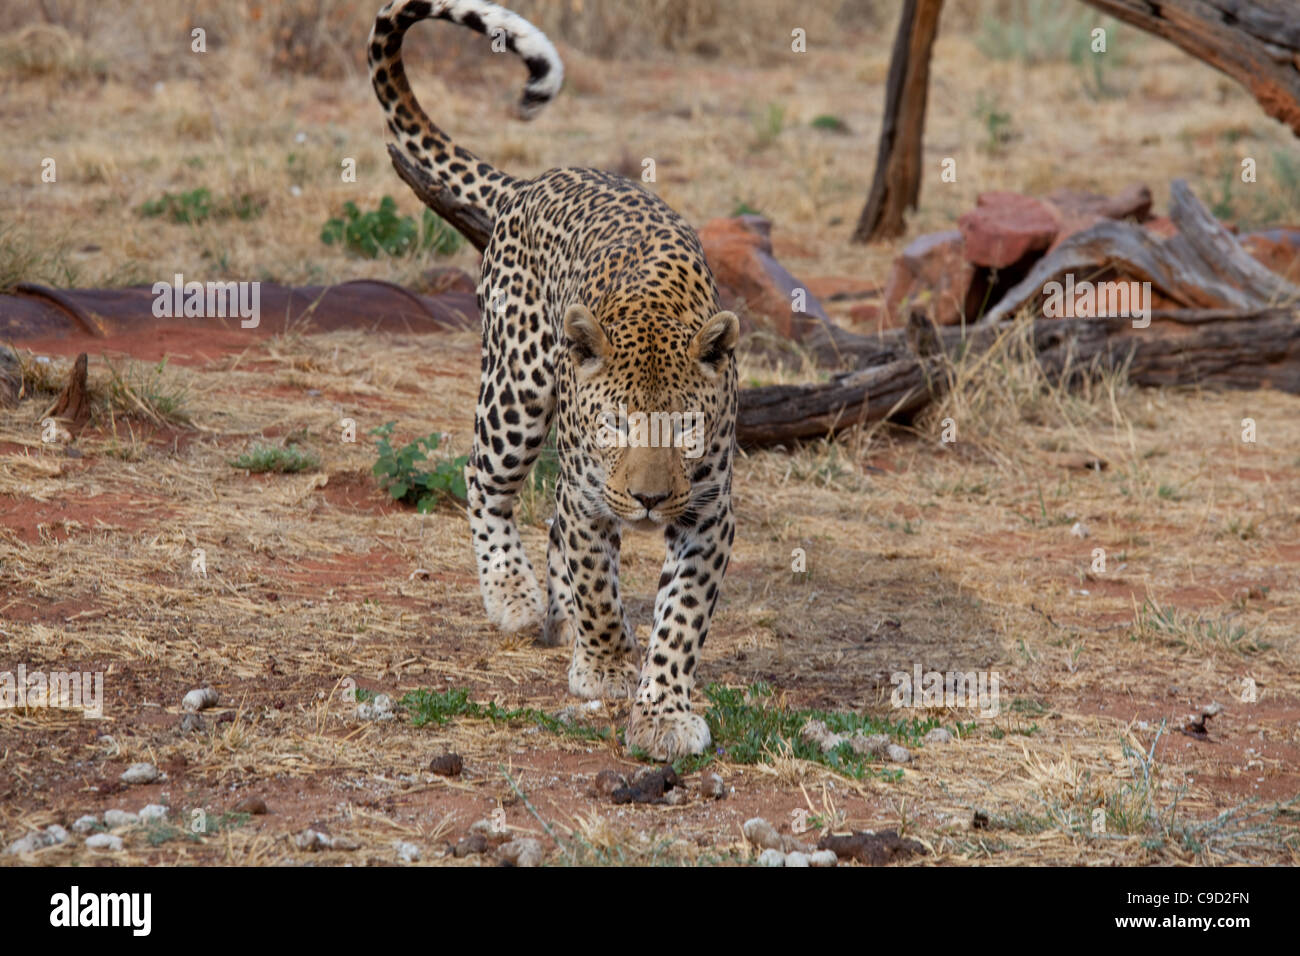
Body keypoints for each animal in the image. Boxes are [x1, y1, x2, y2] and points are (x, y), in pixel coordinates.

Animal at [369, 0, 739, 760]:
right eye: (616, 425)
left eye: (686, 427)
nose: (650, 500)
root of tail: (534, 182)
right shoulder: (590, 496)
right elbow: (597, 582)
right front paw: (605, 667)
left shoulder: (709, 510)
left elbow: (681, 619)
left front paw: (663, 711)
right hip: (515, 393)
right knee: (484, 480)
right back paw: (513, 596)